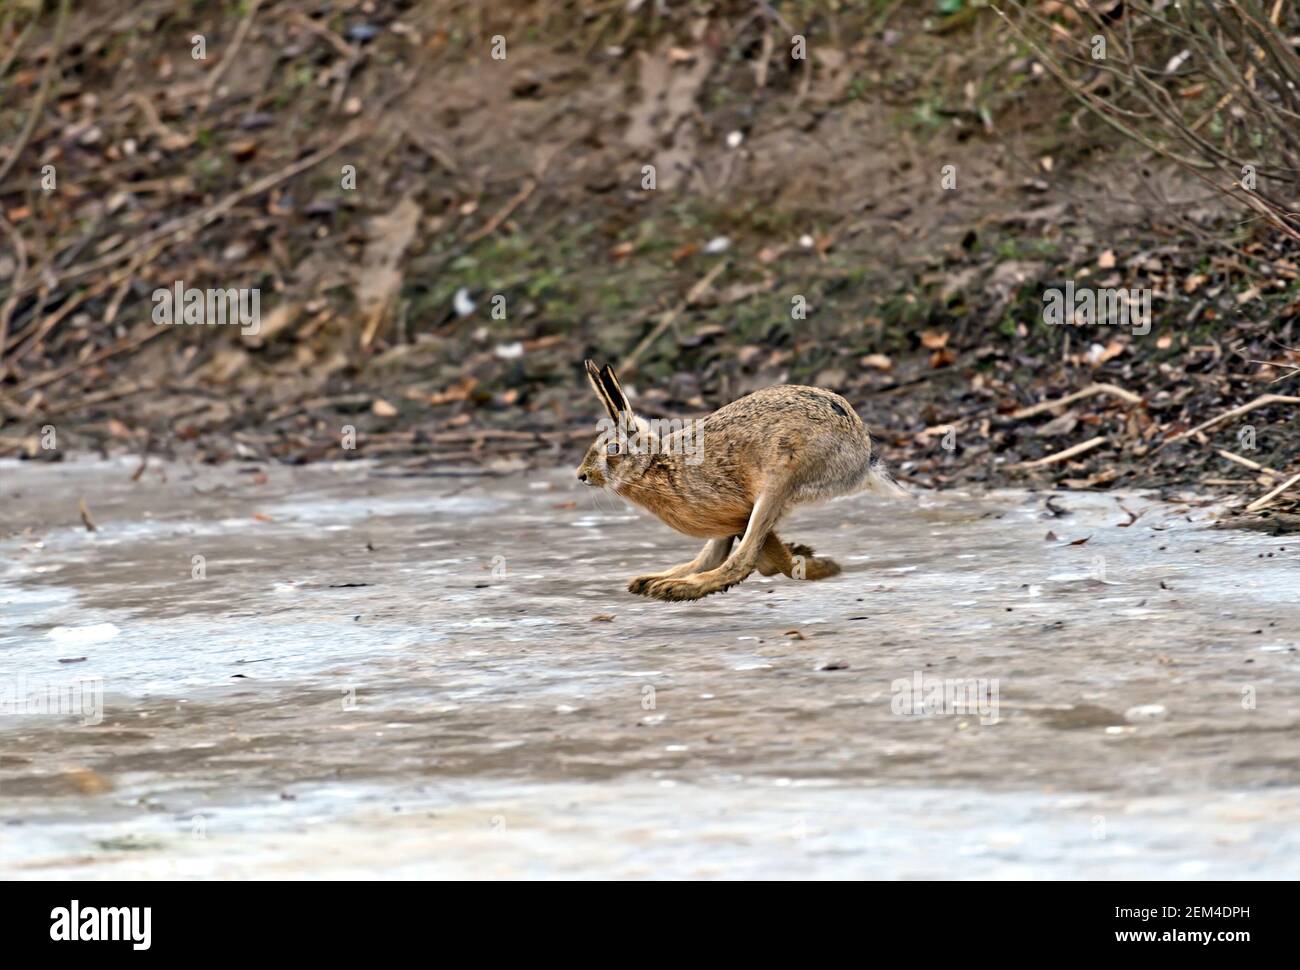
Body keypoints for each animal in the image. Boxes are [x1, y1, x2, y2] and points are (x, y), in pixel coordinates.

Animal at [576, 360, 909, 601]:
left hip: (780, 479)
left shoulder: (738, 510)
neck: (653, 464)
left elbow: (753, 558)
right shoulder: (724, 523)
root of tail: (862, 457)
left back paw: (678, 589)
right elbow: (717, 553)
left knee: (744, 559)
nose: (582, 475)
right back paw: (654, 582)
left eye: (612, 449)